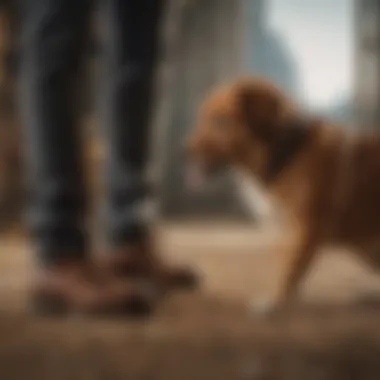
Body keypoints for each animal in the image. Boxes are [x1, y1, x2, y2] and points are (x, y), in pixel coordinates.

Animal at [188, 76, 380, 312]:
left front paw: (275, 303)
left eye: (221, 121)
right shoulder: (289, 233)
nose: (184, 152)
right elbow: (288, 267)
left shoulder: (306, 230)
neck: (286, 154)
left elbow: (290, 270)